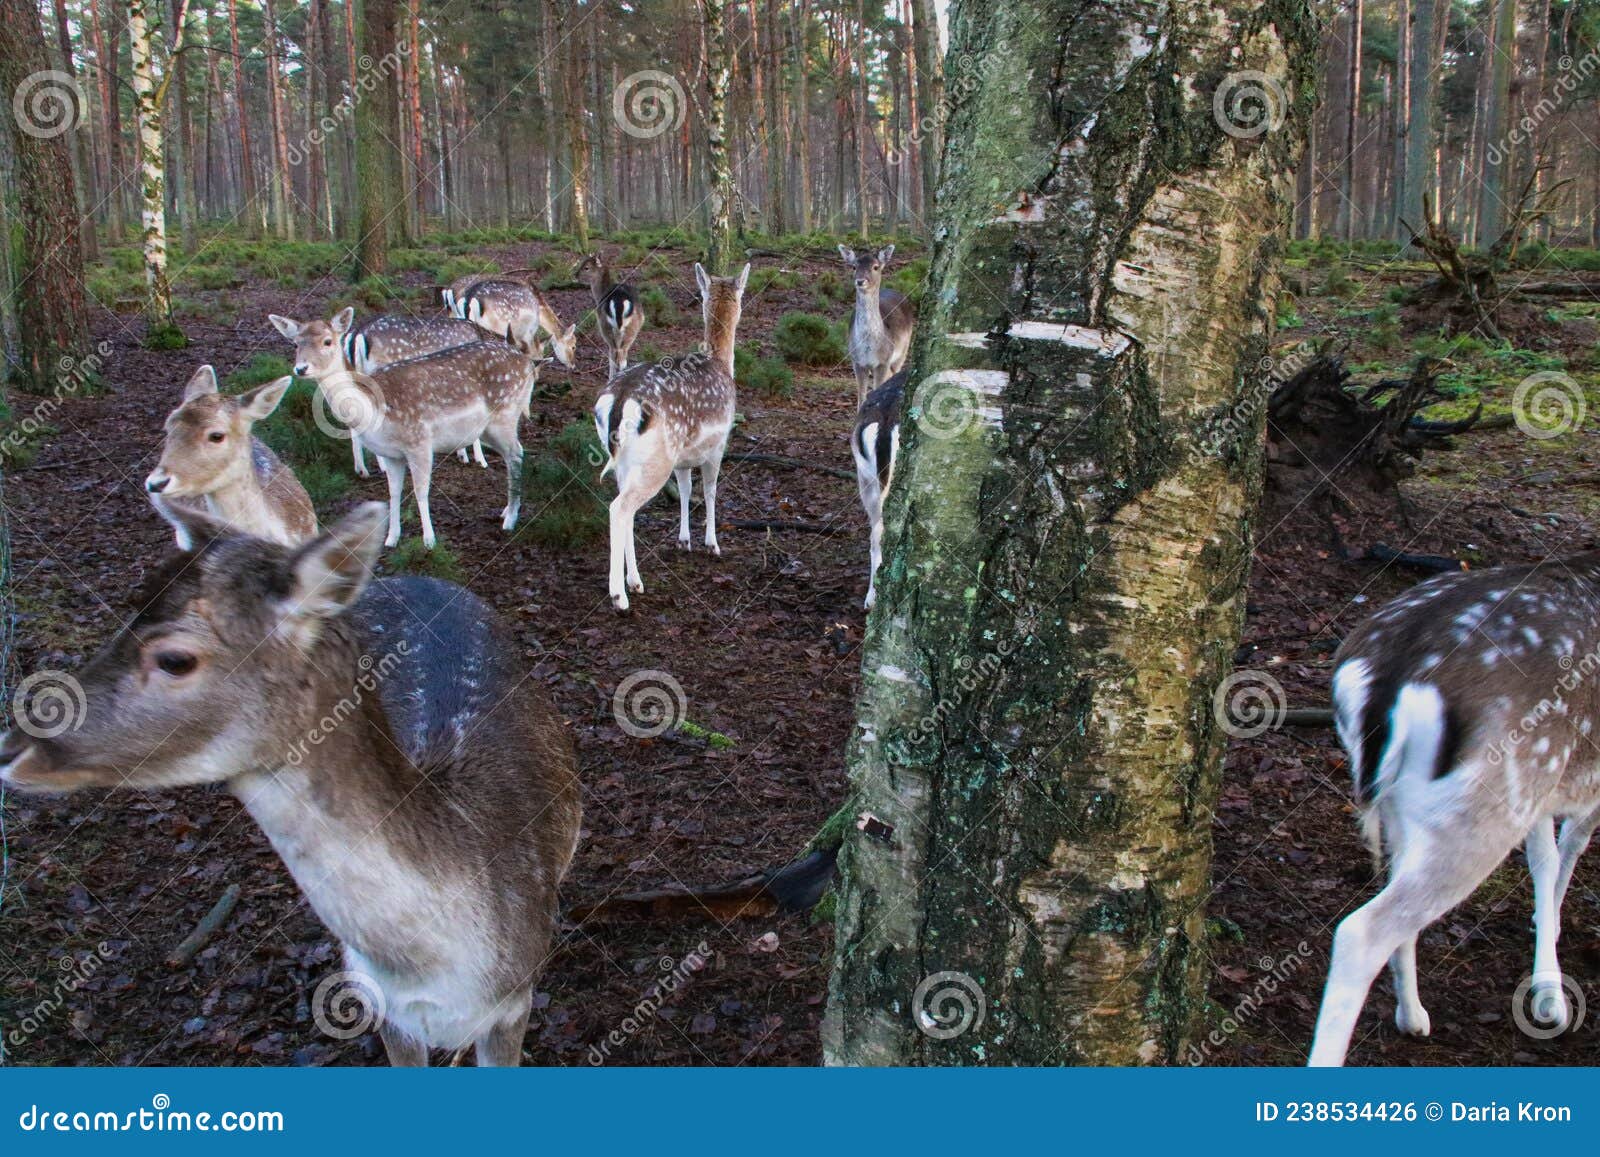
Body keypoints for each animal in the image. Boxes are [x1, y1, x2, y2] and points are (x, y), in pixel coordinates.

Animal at [271, 309, 498, 473]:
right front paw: (479, 459)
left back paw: (362, 469)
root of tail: (356, 336)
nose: (301, 368)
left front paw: (462, 454)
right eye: (295, 344)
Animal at [594, 262, 747, 611]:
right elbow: (710, 491)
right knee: (619, 509)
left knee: (627, 509)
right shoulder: (718, 445)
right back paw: (619, 595)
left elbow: (687, 490)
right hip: (656, 460)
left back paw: (635, 581)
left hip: (629, 461)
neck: (723, 364)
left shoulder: (683, 457)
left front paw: (684, 540)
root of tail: (619, 399)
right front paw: (712, 544)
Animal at [839, 244, 915, 405]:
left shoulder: (883, 361)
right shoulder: (856, 361)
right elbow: (862, 397)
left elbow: (875, 390)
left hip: (903, 352)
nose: (860, 281)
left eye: (875, 267)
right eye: (854, 266)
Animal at [1308, 552, 1600, 1066]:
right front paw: (1552, 991)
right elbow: (1571, 846)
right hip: (1489, 799)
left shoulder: (1545, 787)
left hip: (1414, 803)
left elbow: (1544, 856)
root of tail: (1385, 675)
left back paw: (1412, 1014)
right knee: (1361, 931)